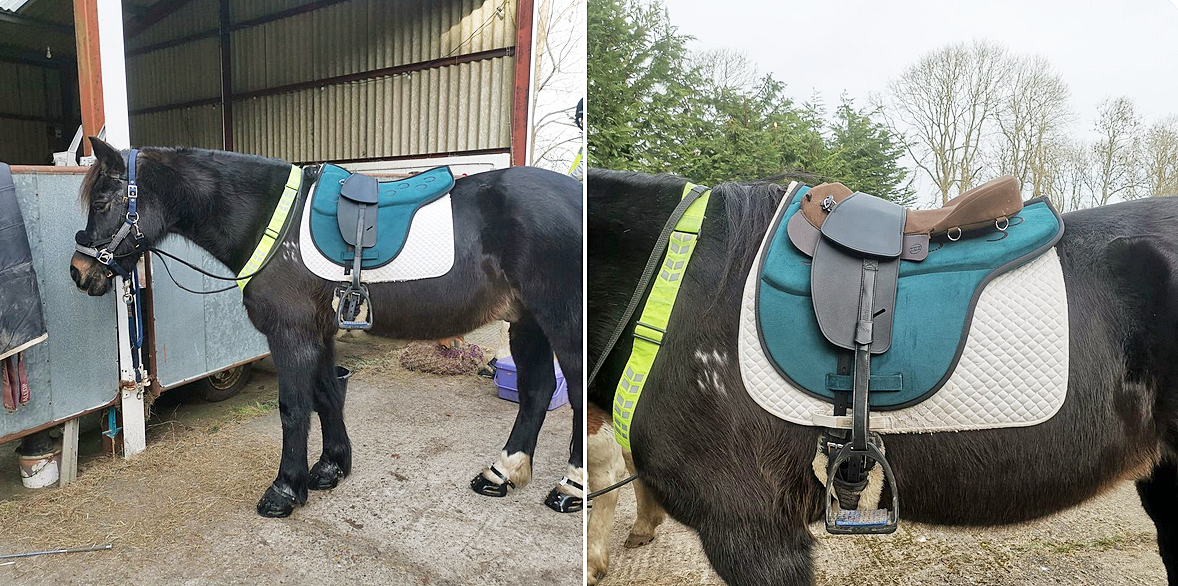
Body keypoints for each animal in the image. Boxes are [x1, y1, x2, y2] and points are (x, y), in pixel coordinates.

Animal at [69, 137, 584, 519]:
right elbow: (327, 395)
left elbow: (293, 408)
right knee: (538, 390)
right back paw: (502, 472)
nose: (79, 272)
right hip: (527, 321)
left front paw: (284, 490)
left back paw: (569, 489)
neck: (272, 222)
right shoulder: (318, 332)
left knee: (577, 393)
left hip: (563, 324)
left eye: (103, 200)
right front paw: (331, 468)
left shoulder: (290, 334)